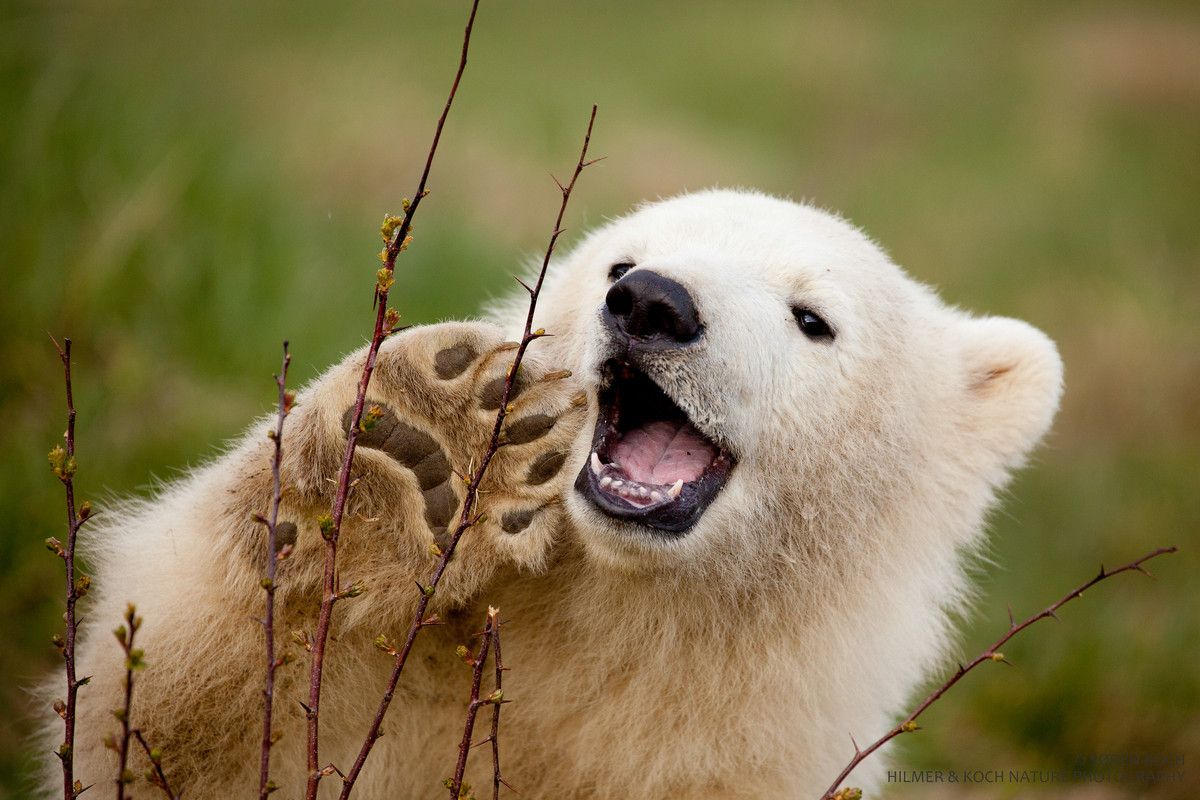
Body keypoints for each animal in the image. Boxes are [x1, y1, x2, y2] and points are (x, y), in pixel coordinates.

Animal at [42, 189, 1062, 799]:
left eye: (813, 318)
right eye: (620, 263)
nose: (653, 302)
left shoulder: (763, 754)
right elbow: (166, 729)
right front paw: (413, 457)